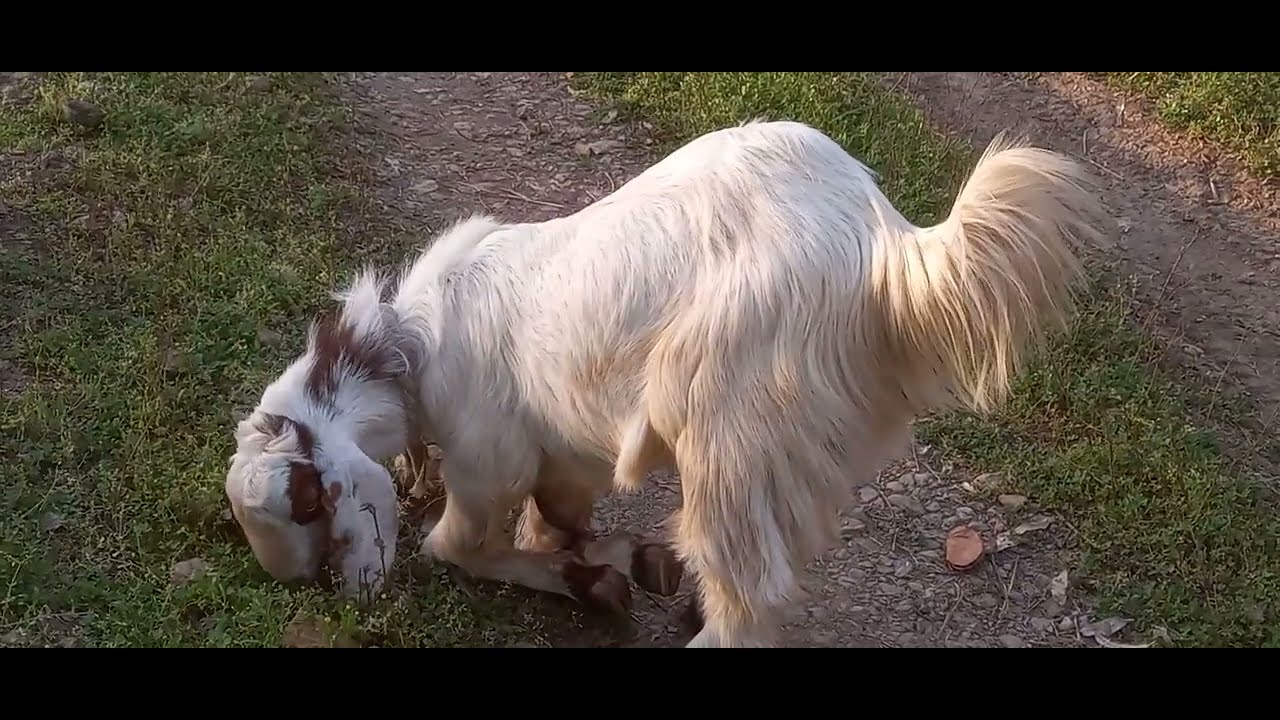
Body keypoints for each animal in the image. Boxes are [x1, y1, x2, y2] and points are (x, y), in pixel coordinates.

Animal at [226, 119, 1108, 646]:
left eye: (309, 497)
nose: (345, 592)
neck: (413, 343)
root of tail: (882, 244)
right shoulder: (564, 455)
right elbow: (558, 516)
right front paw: (614, 560)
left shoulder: (488, 460)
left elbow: (462, 545)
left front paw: (594, 579)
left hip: (728, 422)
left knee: (751, 585)